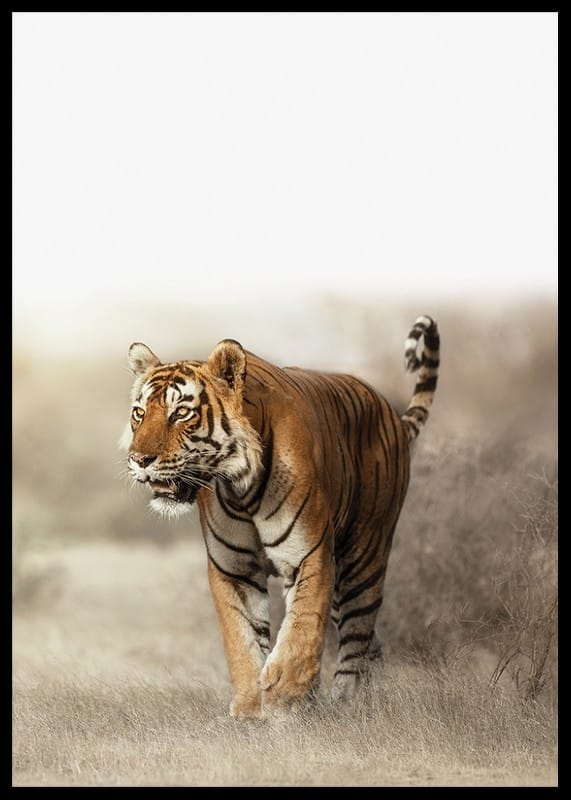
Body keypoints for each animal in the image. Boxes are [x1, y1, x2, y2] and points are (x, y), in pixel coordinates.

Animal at [121, 315, 440, 718]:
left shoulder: (309, 555)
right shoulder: (234, 568)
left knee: (356, 636)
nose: (138, 459)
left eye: (181, 413)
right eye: (139, 413)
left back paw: (345, 703)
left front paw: (284, 697)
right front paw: (249, 707)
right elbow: (241, 639)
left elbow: (302, 628)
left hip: (363, 557)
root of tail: (392, 415)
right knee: (370, 641)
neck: (239, 487)